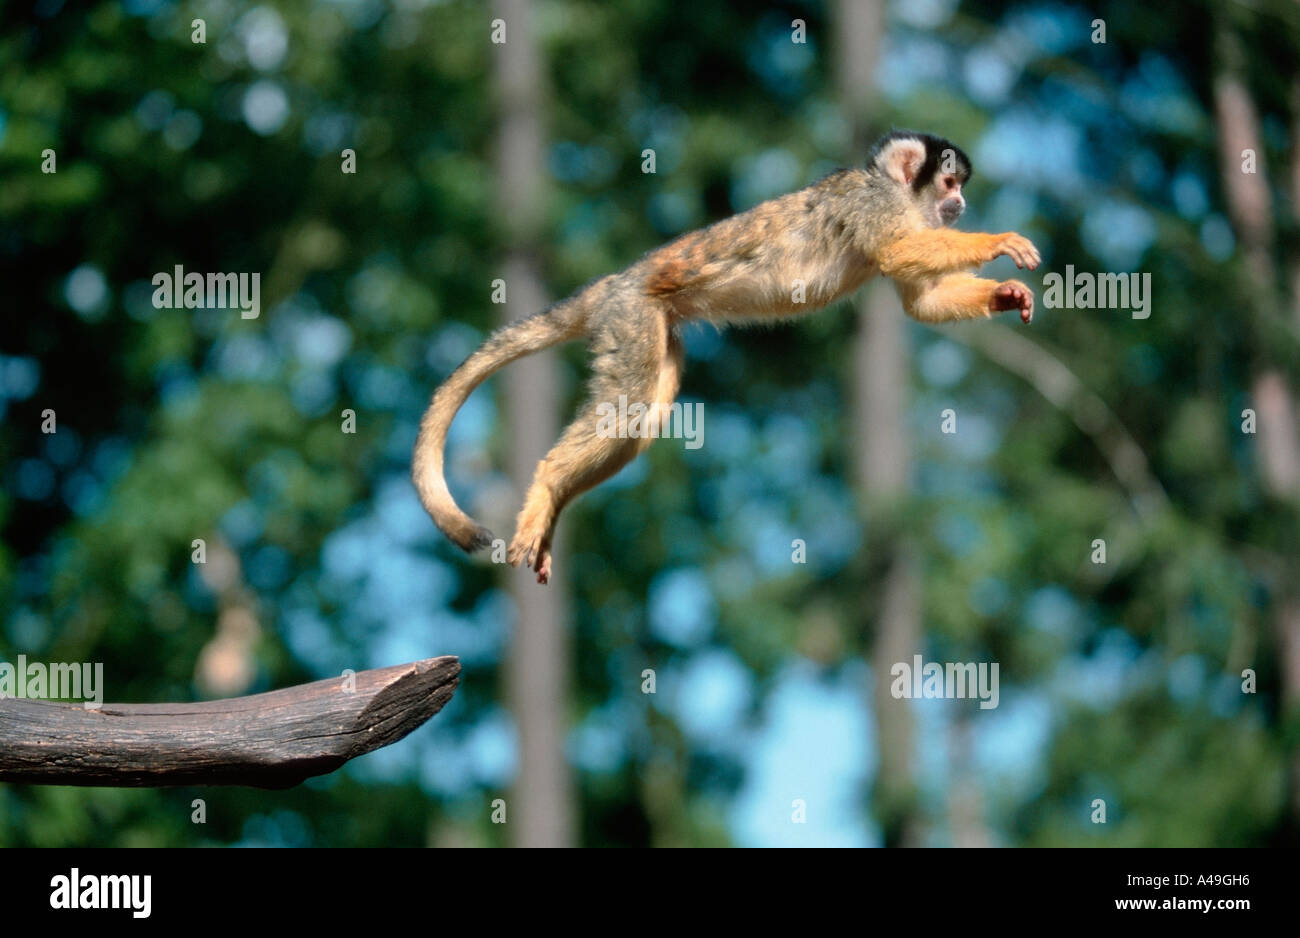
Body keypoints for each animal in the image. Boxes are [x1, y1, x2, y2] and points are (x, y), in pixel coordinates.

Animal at [413, 130, 1040, 583]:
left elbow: (919, 299)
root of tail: (615, 281)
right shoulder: (875, 204)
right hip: (631, 316)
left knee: (638, 424)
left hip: (654, 328)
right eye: (949, 181)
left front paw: (1006, 295)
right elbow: (897, 251)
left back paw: (553, 507)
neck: (893, 190)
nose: (960, 203)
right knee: (626, 407)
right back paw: (545, 483)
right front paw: (998, 241)